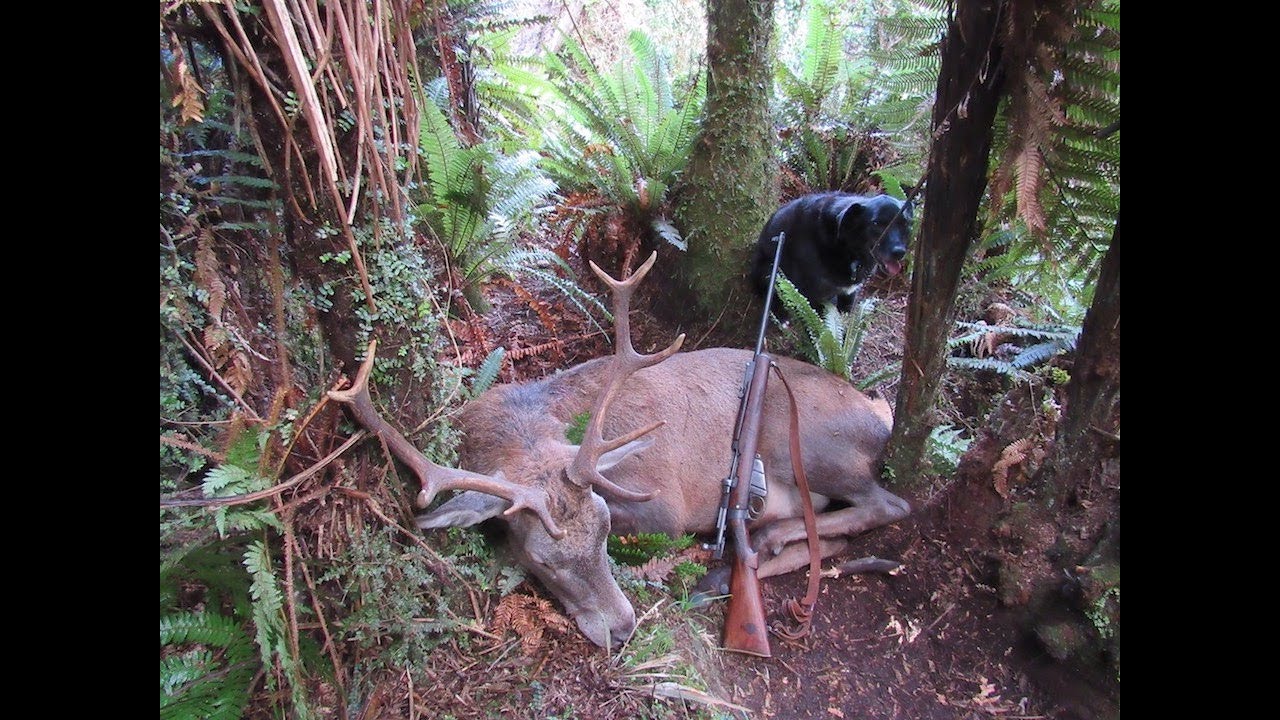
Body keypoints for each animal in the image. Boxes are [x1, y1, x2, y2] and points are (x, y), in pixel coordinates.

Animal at [328, 252, 910, 650]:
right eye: (542, 559)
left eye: (606, 529)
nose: (624, 627)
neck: (525, 423)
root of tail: (878, 413)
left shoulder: (666, 504)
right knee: (833, 537)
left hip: (806, 443)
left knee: (888, 505)